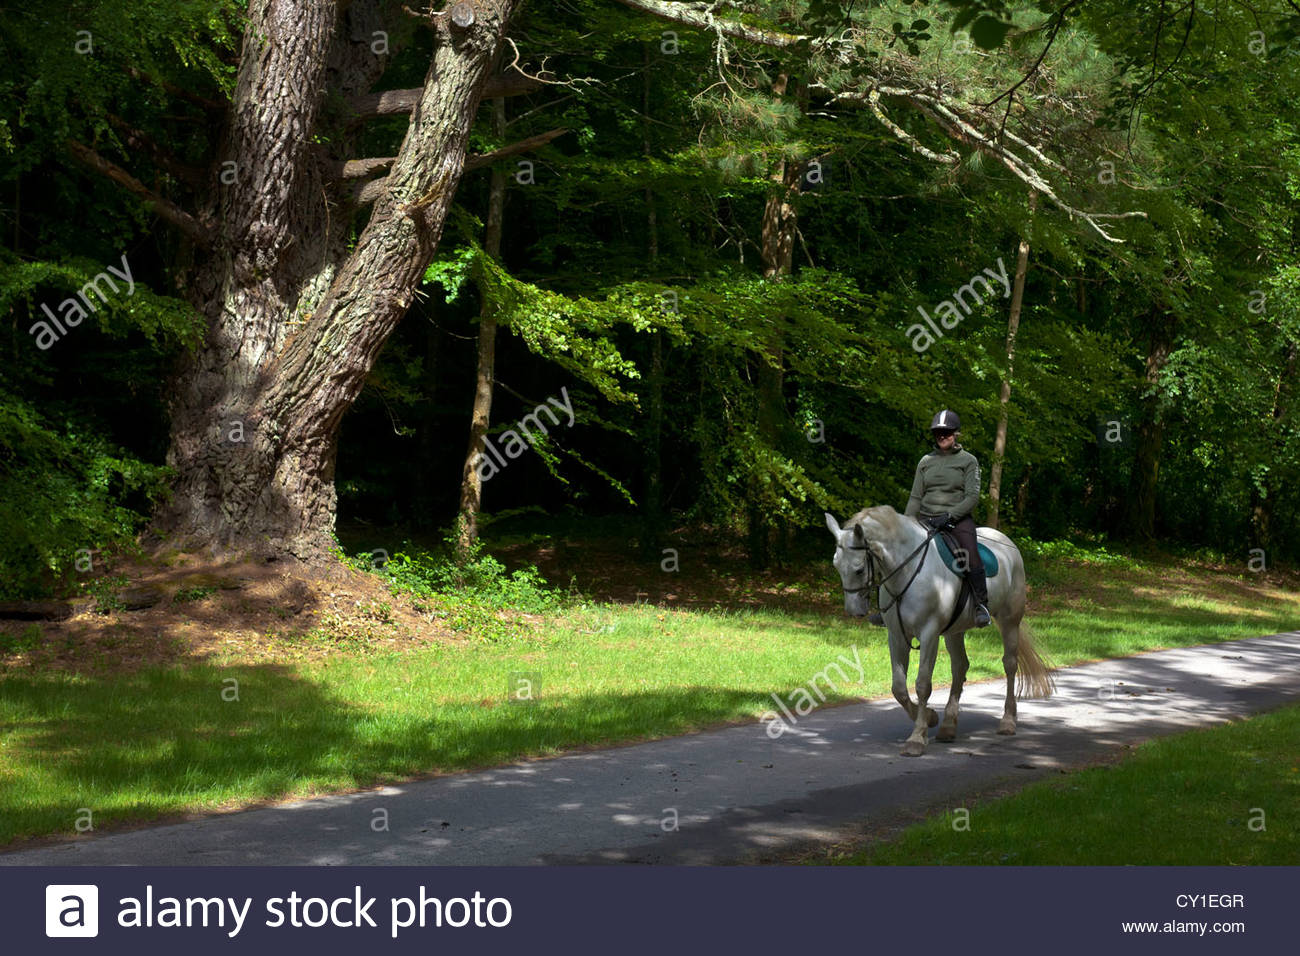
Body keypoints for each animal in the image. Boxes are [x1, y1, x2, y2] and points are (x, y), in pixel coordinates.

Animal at [825, 506, 1054, 757]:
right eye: (836, 565)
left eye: (858, 570)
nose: (853, 611)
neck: (907, 571)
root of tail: (1006, 542)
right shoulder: (896, 636)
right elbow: (899, 688)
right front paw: (930, 718)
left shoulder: (929, 634)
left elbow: (923, 684)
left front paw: (917, 738)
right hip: (955, 631)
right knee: (960, 667)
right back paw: (948, 726)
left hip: (1009, 621)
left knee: (1010, 664)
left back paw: (1008, 721)